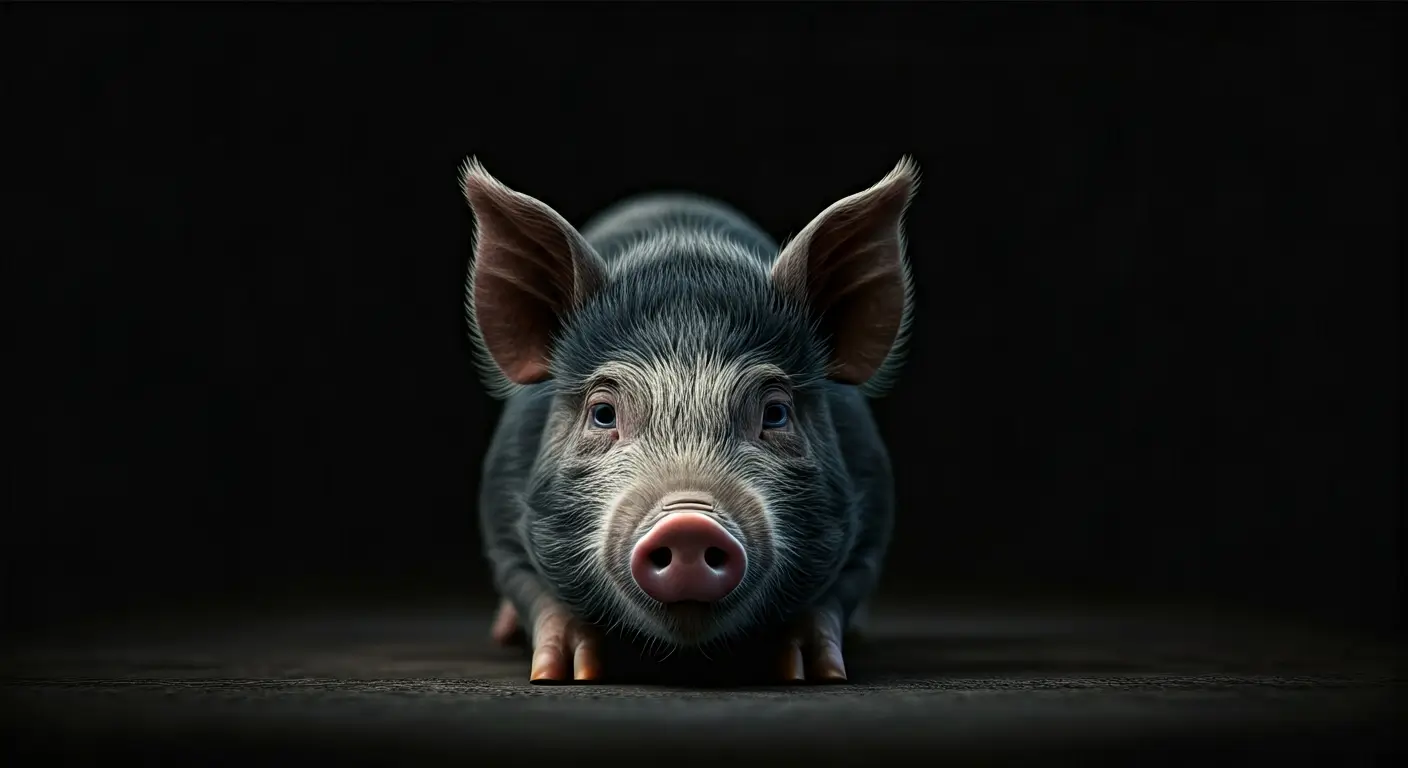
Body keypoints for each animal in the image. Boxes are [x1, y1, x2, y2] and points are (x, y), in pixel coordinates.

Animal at [461, 157, 918, 684]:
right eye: (603, 414)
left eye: (776, 413)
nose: (688, 524)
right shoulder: (501, 519)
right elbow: (535, 590)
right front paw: (560, 674)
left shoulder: (870, 518)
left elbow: (833, 598)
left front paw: (818, 672)